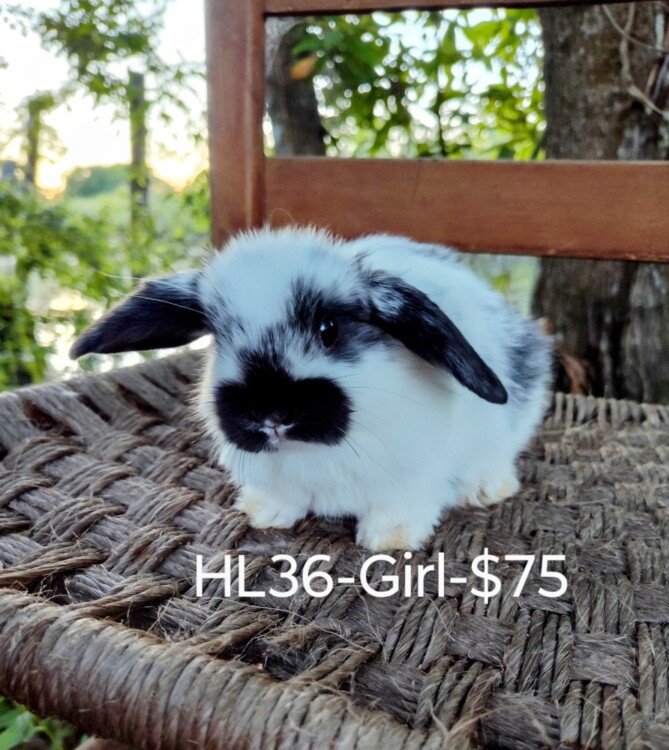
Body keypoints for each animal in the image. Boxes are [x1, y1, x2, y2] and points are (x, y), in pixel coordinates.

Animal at [71, 226, 552, 551]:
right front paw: (265, 515)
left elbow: (402, 507)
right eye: (219, 338)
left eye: (329, 329)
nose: (269, 416)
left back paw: (489, 488)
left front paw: (388, 539)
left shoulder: (417, 477)